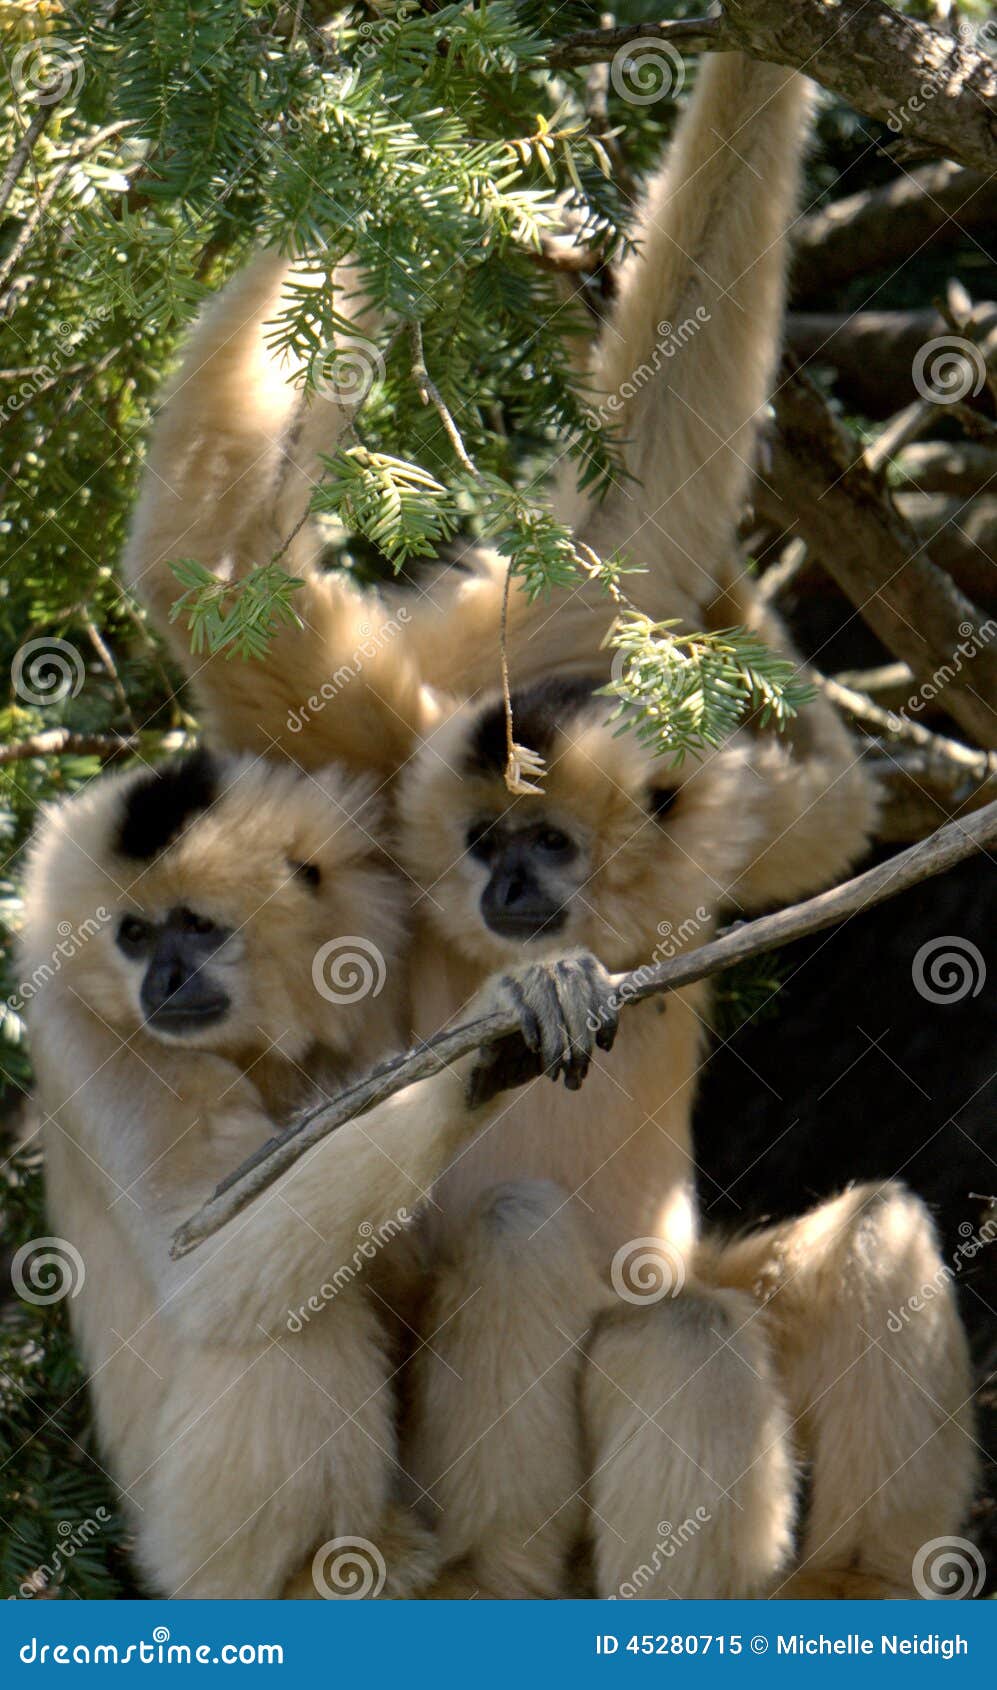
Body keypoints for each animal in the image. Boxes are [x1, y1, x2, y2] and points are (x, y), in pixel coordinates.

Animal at [19, 747, 621, 1599]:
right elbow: (205, 1258)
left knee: (518, 1223)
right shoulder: (84, 1030)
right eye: (133, 935)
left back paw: (491, 1569)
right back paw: (322, 1572)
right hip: (189, 1547)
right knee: (287, 1310)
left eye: (195, 927)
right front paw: (476, 1050)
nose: (160, 981)